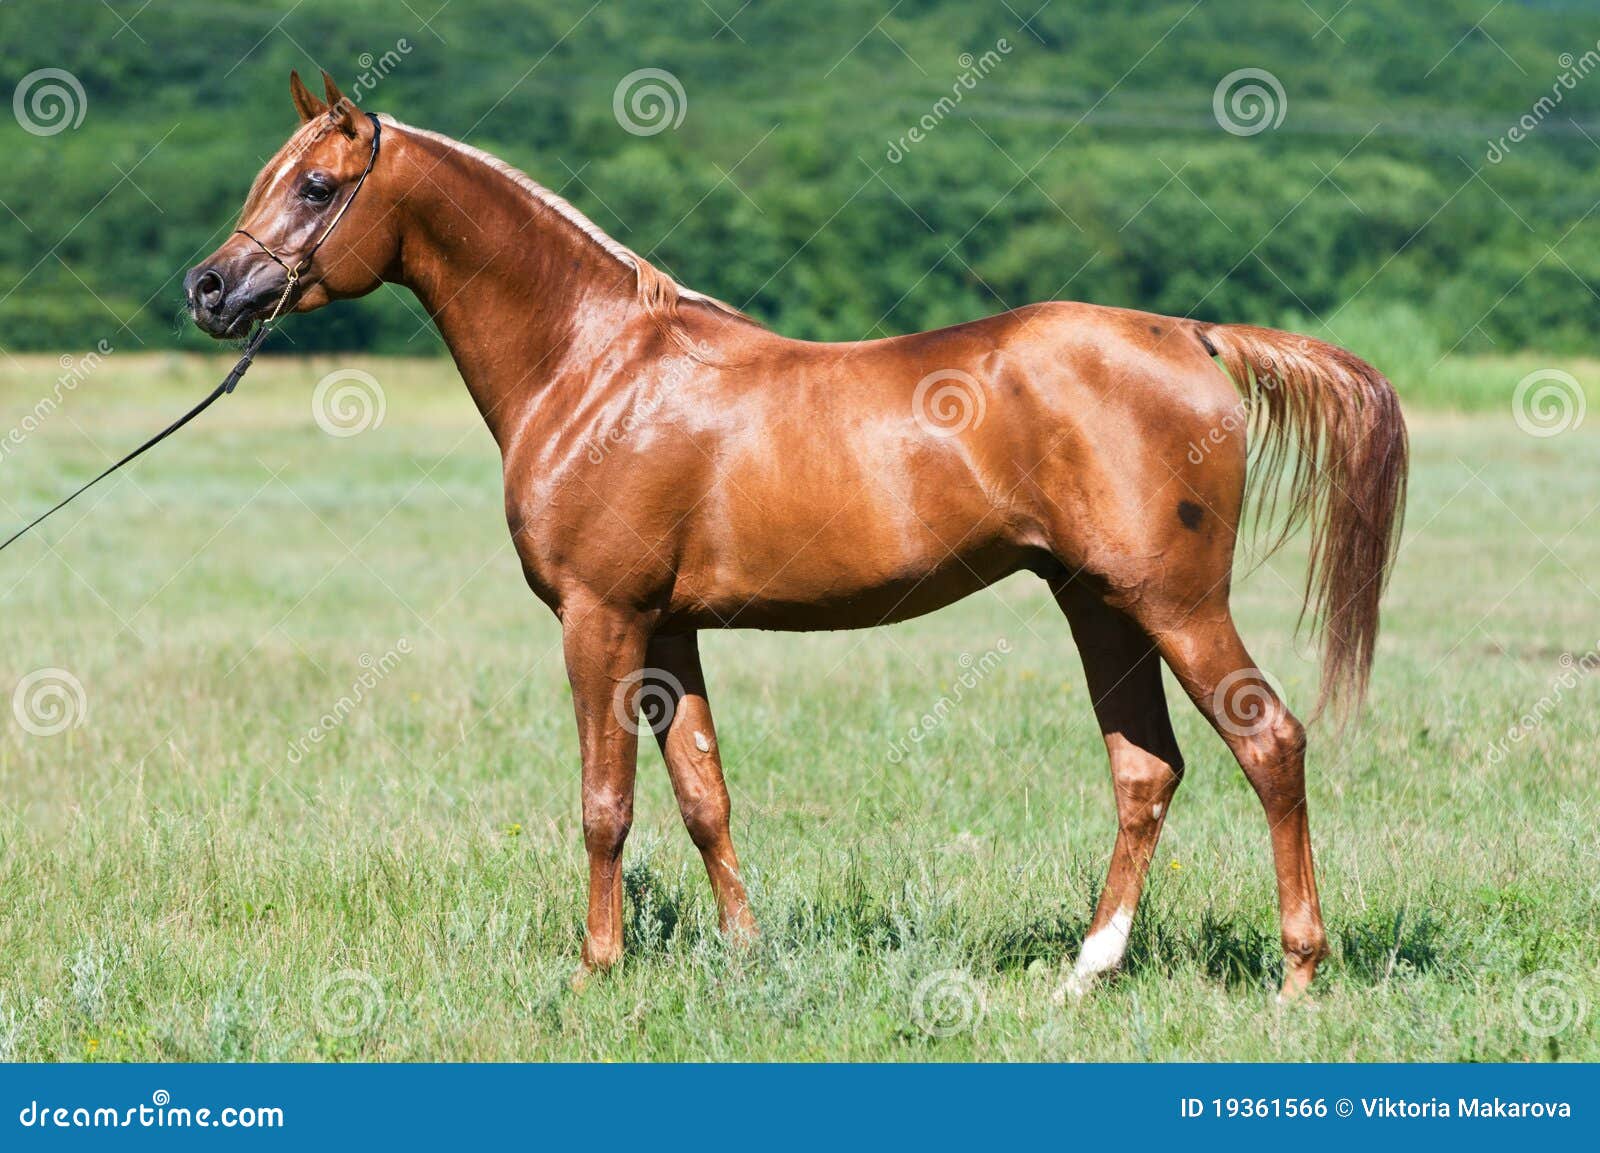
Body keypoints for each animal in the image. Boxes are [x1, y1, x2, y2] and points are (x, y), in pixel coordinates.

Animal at [184, 72, 1407, 1000]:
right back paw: (1086, 970)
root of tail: (1193, 337)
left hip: (1174, 603)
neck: (596, 367)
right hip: (1097, 602)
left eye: (317, 184)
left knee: (1269, 743)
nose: (210, 287)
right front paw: (743, 953)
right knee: (1146, 769)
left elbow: (604, 805)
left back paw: (1298, 974)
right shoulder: (669, 631)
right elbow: (702, 795)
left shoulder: (600, 619)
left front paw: (595, 969)